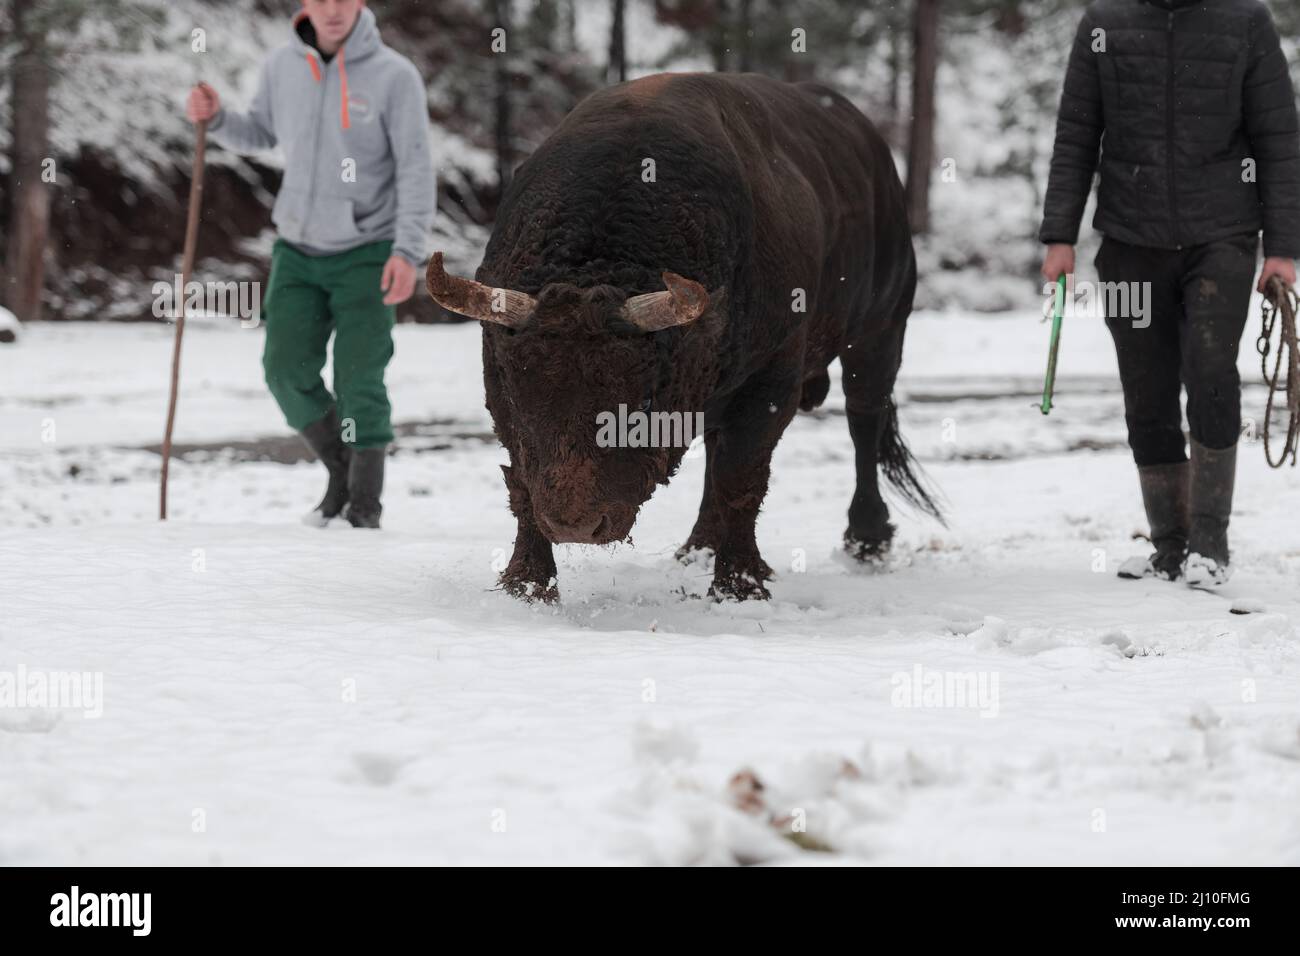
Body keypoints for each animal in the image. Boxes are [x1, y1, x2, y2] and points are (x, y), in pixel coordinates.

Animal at [427, 72, 941, 603]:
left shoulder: (772, 376)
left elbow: (742, 478)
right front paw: (526, 583)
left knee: (864, 422)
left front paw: (740, 584)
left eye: (642, 400)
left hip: (880, 331)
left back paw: (867, 539)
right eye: (519, 388)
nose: (576, 525)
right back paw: (697, 546)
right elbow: (522, 478)